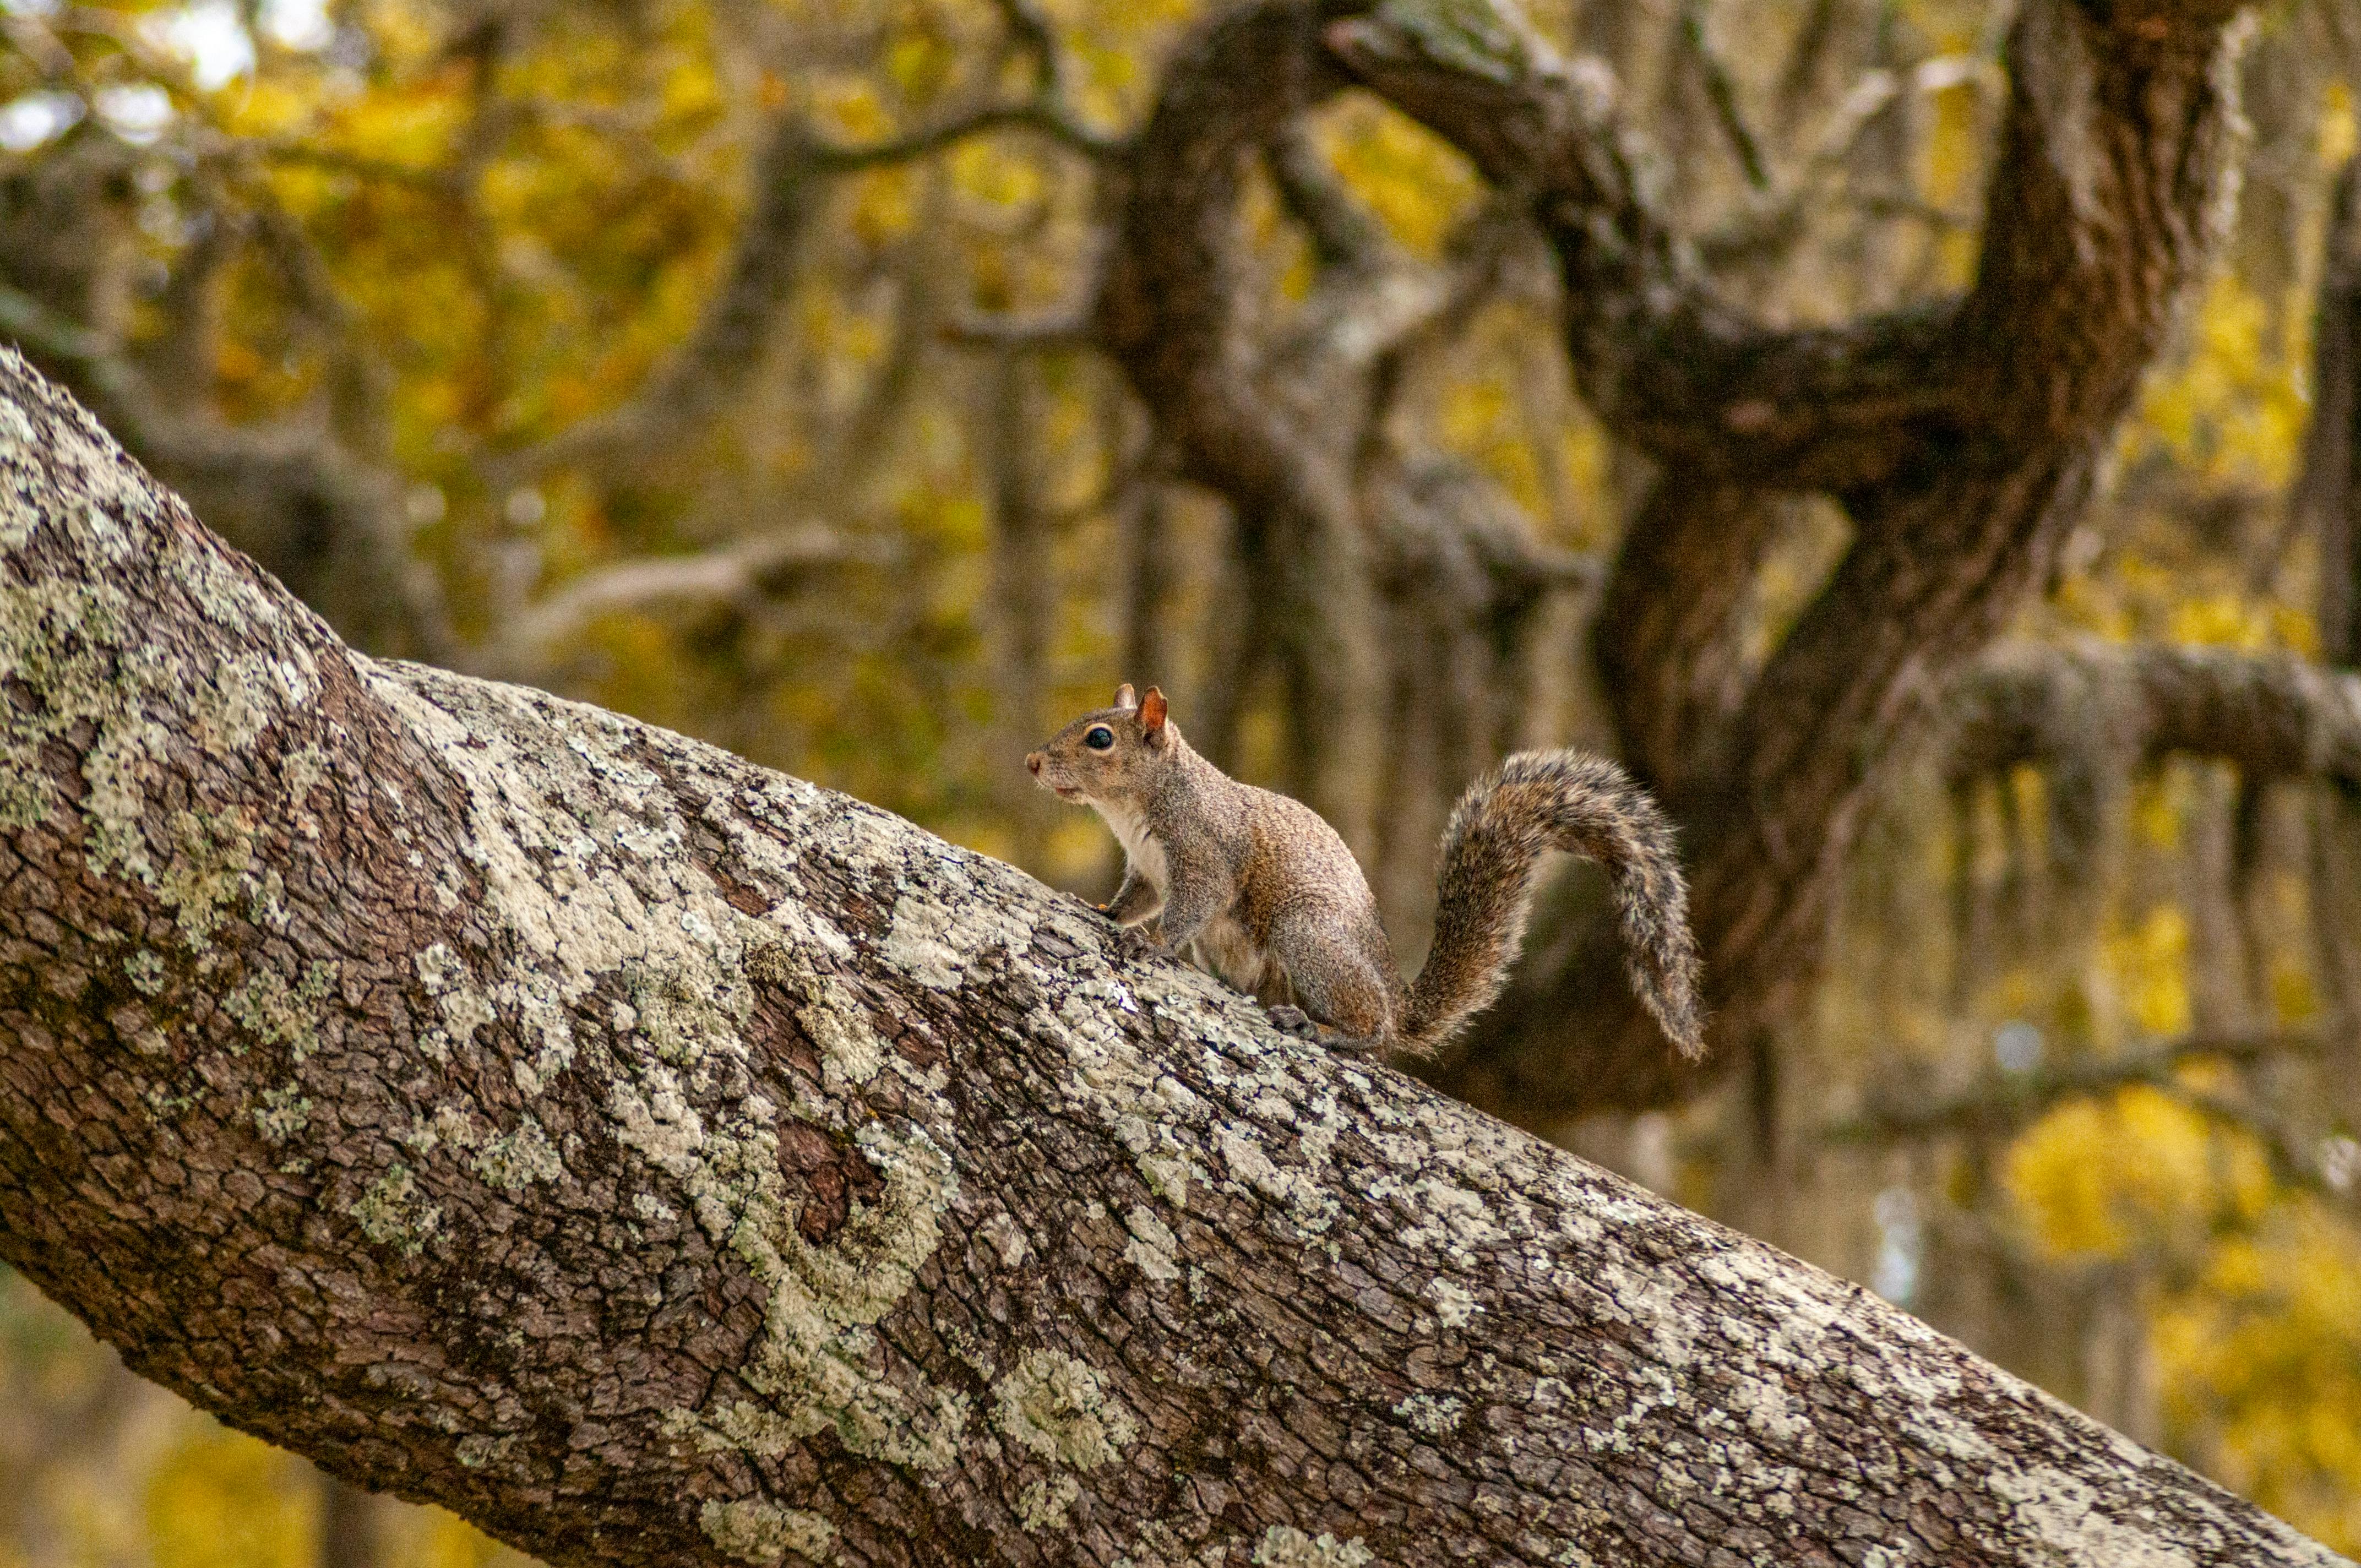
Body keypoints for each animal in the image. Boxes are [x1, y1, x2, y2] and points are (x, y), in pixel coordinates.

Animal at [1026, 683, 1705, 1062]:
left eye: (1100, 739)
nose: (1033, 761)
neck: (1136, 808)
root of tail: (1397, 998)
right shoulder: (1146, 869)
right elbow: (1135, 898)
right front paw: (1104, 911)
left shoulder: (1205, 853)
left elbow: (1190, 906)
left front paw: (1152, 942)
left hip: (1306, 934)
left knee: (1374, 1034)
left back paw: (1325, 1028)